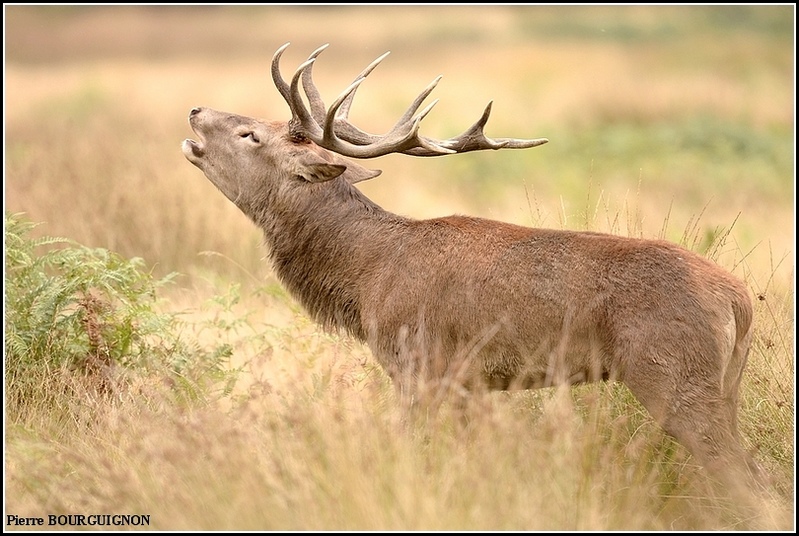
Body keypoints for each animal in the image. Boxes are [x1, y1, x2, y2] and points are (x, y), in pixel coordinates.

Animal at [182, 43, 764, 491]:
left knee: (747, 479)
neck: (367, 277)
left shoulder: (420, 364)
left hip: (674, 375)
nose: (195, 111)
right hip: (725, 386)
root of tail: (738, 299)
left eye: (251, 136)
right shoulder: (469, 384)